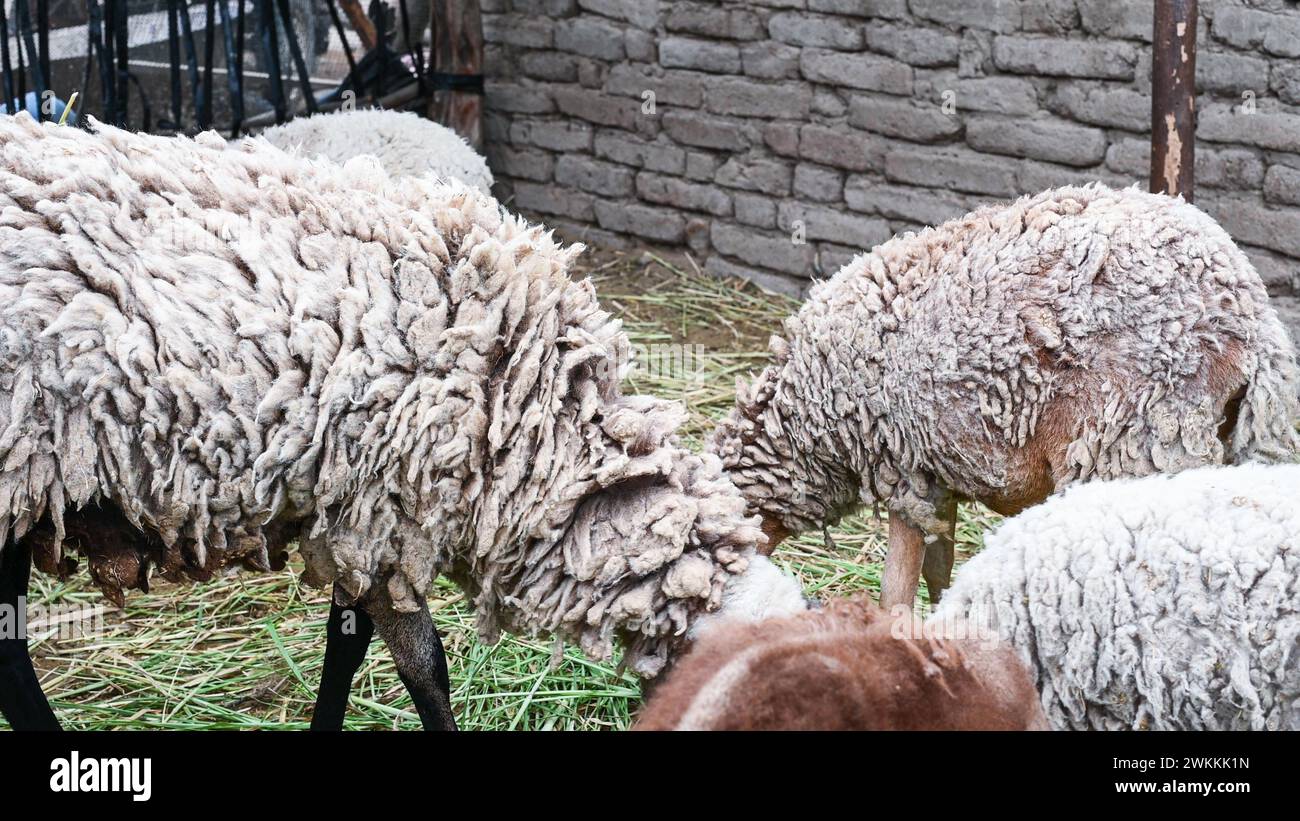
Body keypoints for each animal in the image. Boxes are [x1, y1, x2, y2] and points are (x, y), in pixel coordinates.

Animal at [709, 183, 1300, 608]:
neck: (805, 423)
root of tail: (1251, 313)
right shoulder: (936, 472)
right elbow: (938, 569)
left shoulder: (899, 465)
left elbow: (895, 589)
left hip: (1139, 447)